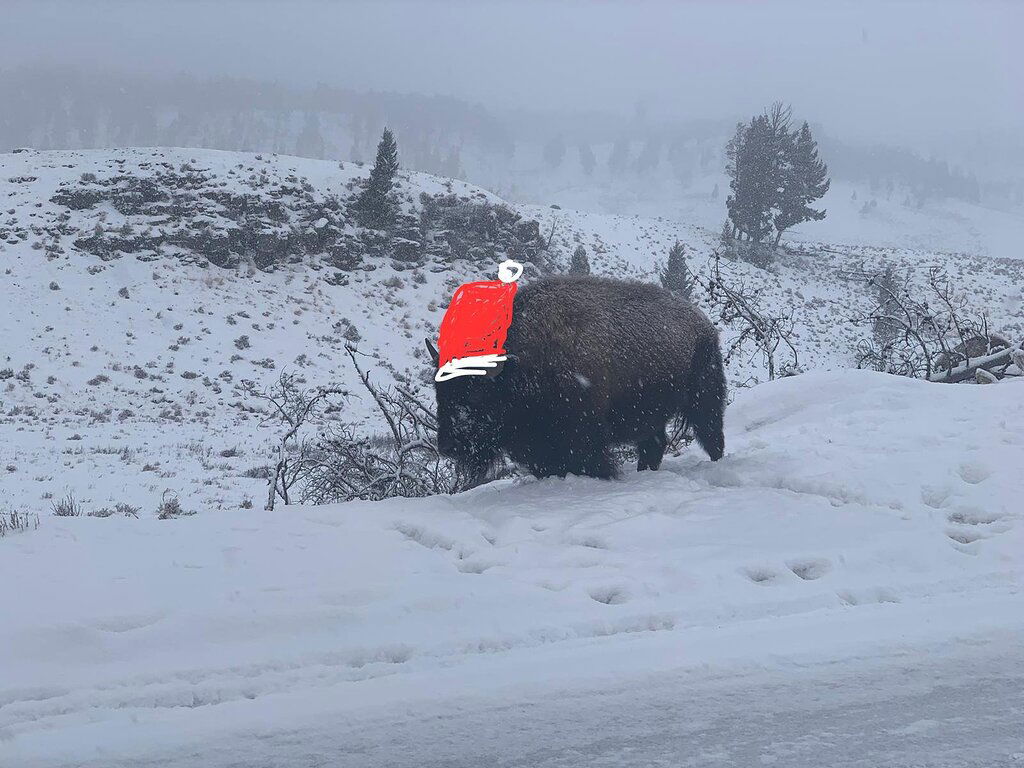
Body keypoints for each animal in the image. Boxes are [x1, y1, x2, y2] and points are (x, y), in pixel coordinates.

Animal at [426, 274, 726, 483]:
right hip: (651, 415)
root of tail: (704, 325)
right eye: (439, 392)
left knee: (711, 434)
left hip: (704, 398)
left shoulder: (584, 438)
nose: (448, 446)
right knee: (654, 444)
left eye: (475, 393)